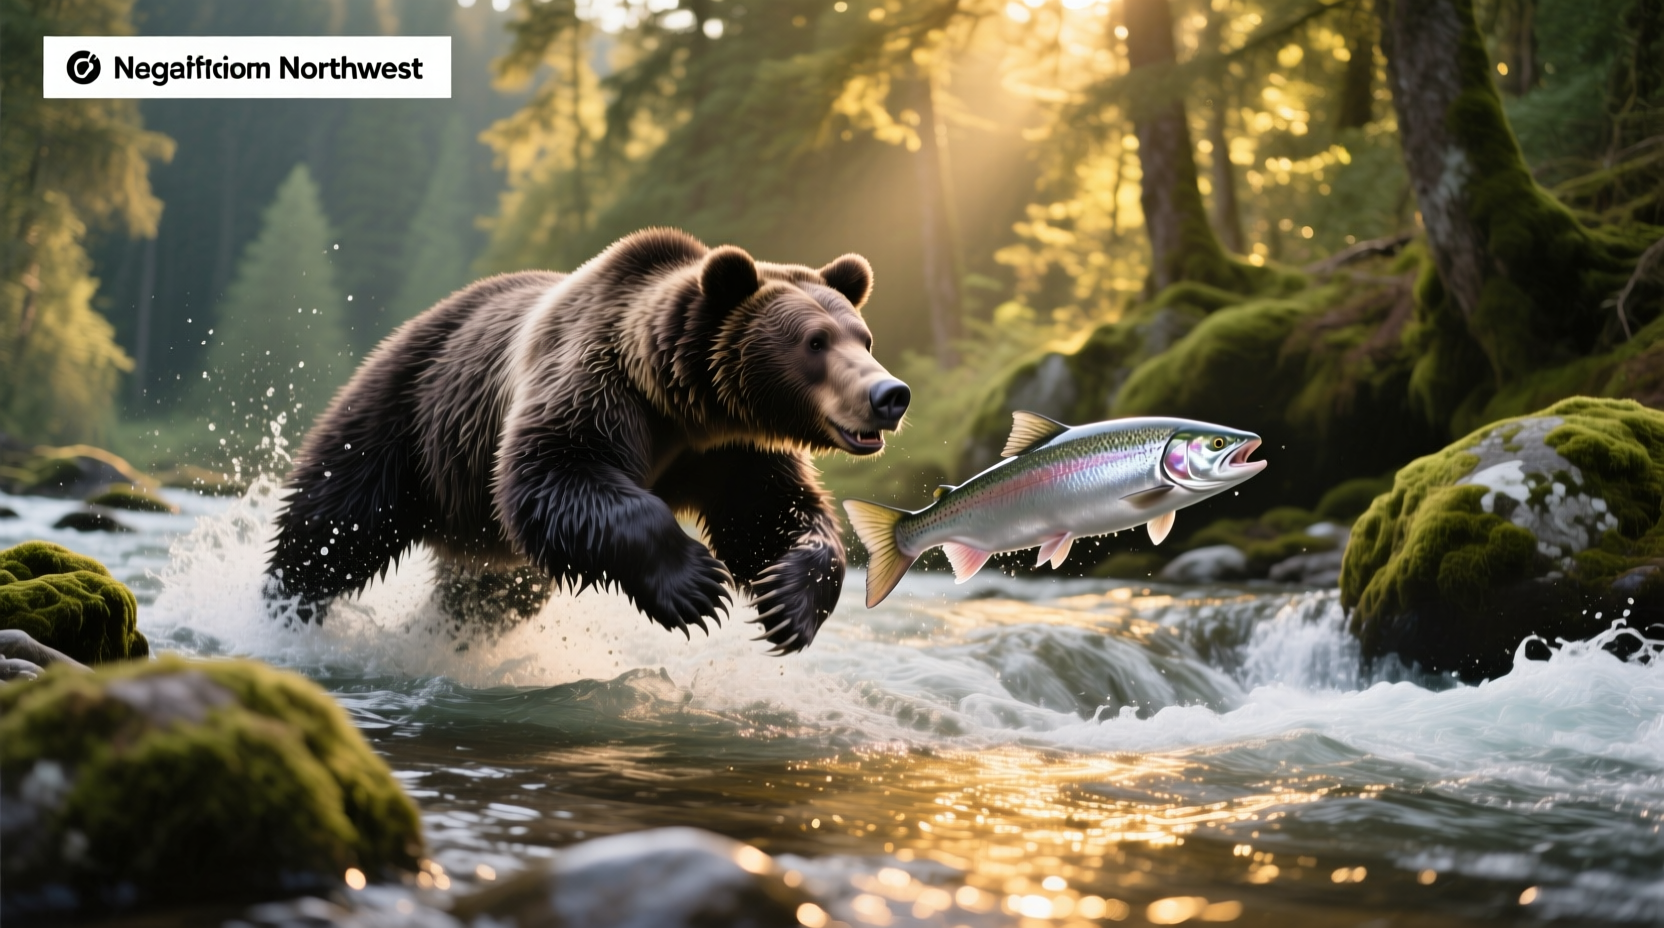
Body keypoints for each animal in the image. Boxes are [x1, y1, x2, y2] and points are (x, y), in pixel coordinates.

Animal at [265, 228, 910, 653]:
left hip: (478, 524)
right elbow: (555, 471)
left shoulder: (733, 450)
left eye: (863, 337)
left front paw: (786, 602)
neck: (681, 402)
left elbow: (773, 511)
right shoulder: (597, 385)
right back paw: (284, 608)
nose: (890, 394)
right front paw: (697, 586)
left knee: (488, 593)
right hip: (407, 417)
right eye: (815, 341)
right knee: (333, 526)